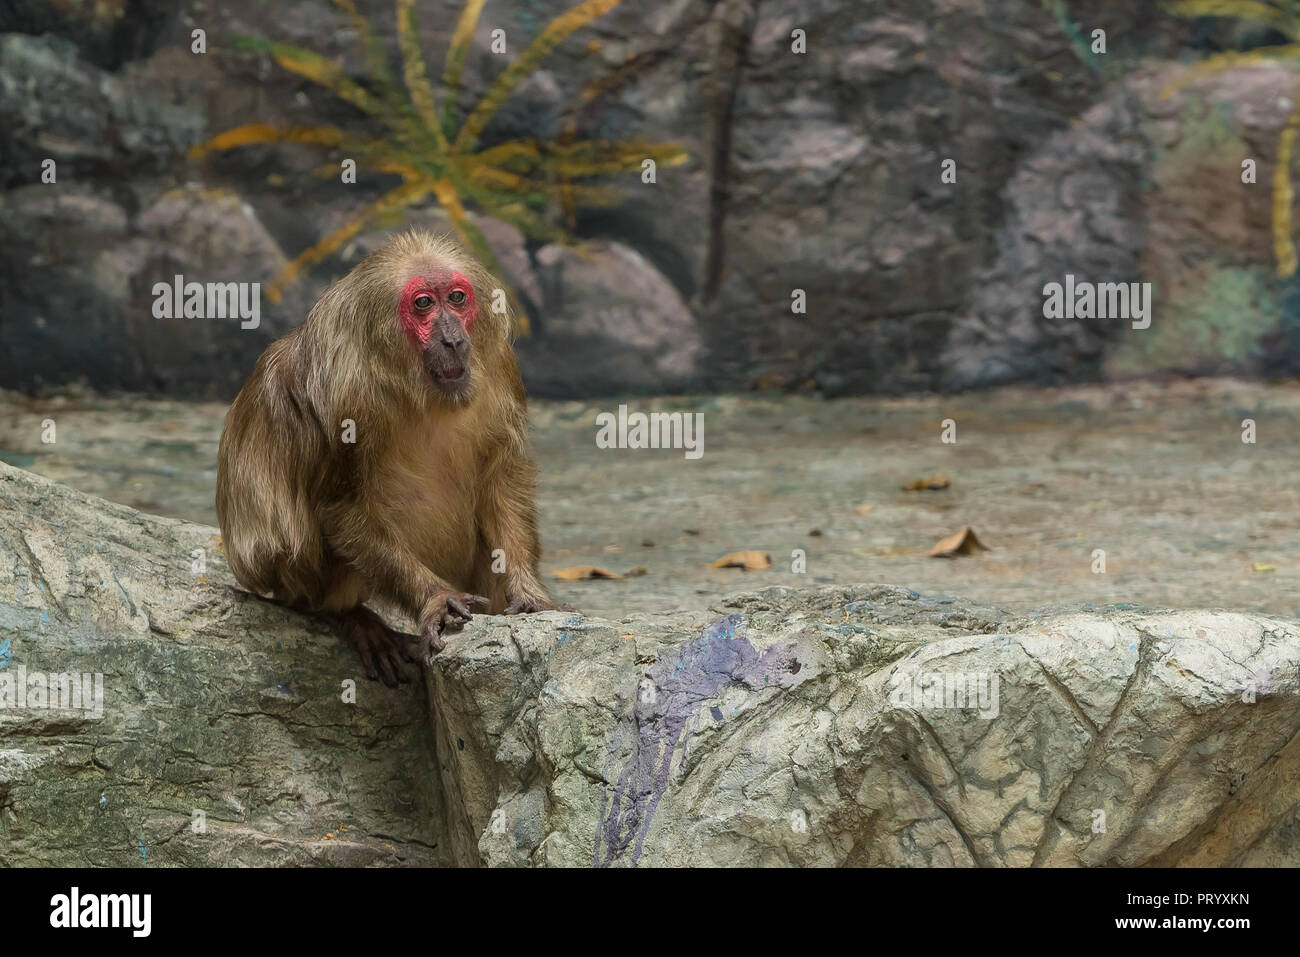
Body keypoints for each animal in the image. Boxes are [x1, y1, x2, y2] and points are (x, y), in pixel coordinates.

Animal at [216, 230, 563, 686]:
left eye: (456, 298)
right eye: (423, 304)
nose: (453, 340)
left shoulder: (498, 364)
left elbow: (499, 474)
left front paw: (526, 587)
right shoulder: (346, 392)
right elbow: (342, 508)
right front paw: (434, 598)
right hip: (284, 574)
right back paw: (344, 615)